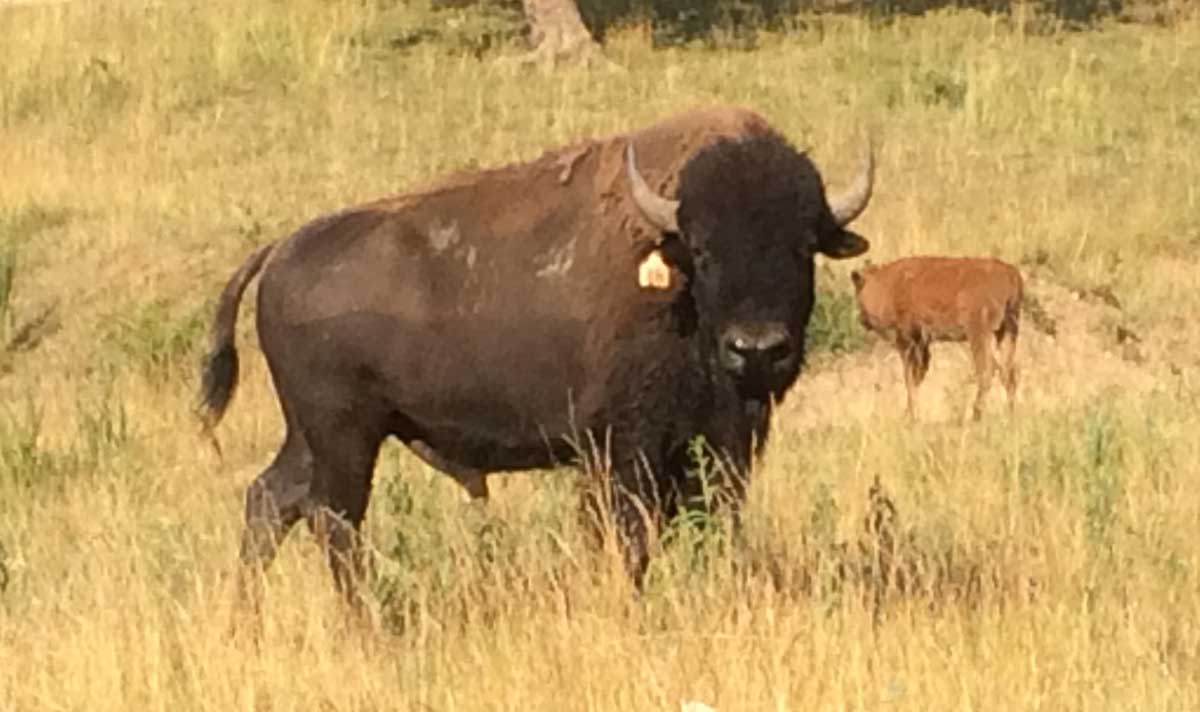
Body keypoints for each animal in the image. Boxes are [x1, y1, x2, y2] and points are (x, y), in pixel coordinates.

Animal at [199, 105, 876, 604]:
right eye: (704, 250)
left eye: (802, 246)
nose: (757, 349)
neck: (669, 274)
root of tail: (281, 249)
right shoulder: (624, 448)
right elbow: (630, 533)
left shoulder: (722, 442)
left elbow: (709, 522)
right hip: (344, 436)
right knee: (331, 519)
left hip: (312, 435)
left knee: (271, 501)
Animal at [851, 256, 1023, 420]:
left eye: (859, 292)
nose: (862, 319)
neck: (887, 284)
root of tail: (1011, 274)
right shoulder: (922, 344)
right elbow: (918, 376)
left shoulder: (907, 341)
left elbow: (909, 378)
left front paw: (911, 416)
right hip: (1007, 332)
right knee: (1008, 373)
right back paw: (1011, 415)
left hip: (979, 333)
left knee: (987, 370)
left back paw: (976, 415)